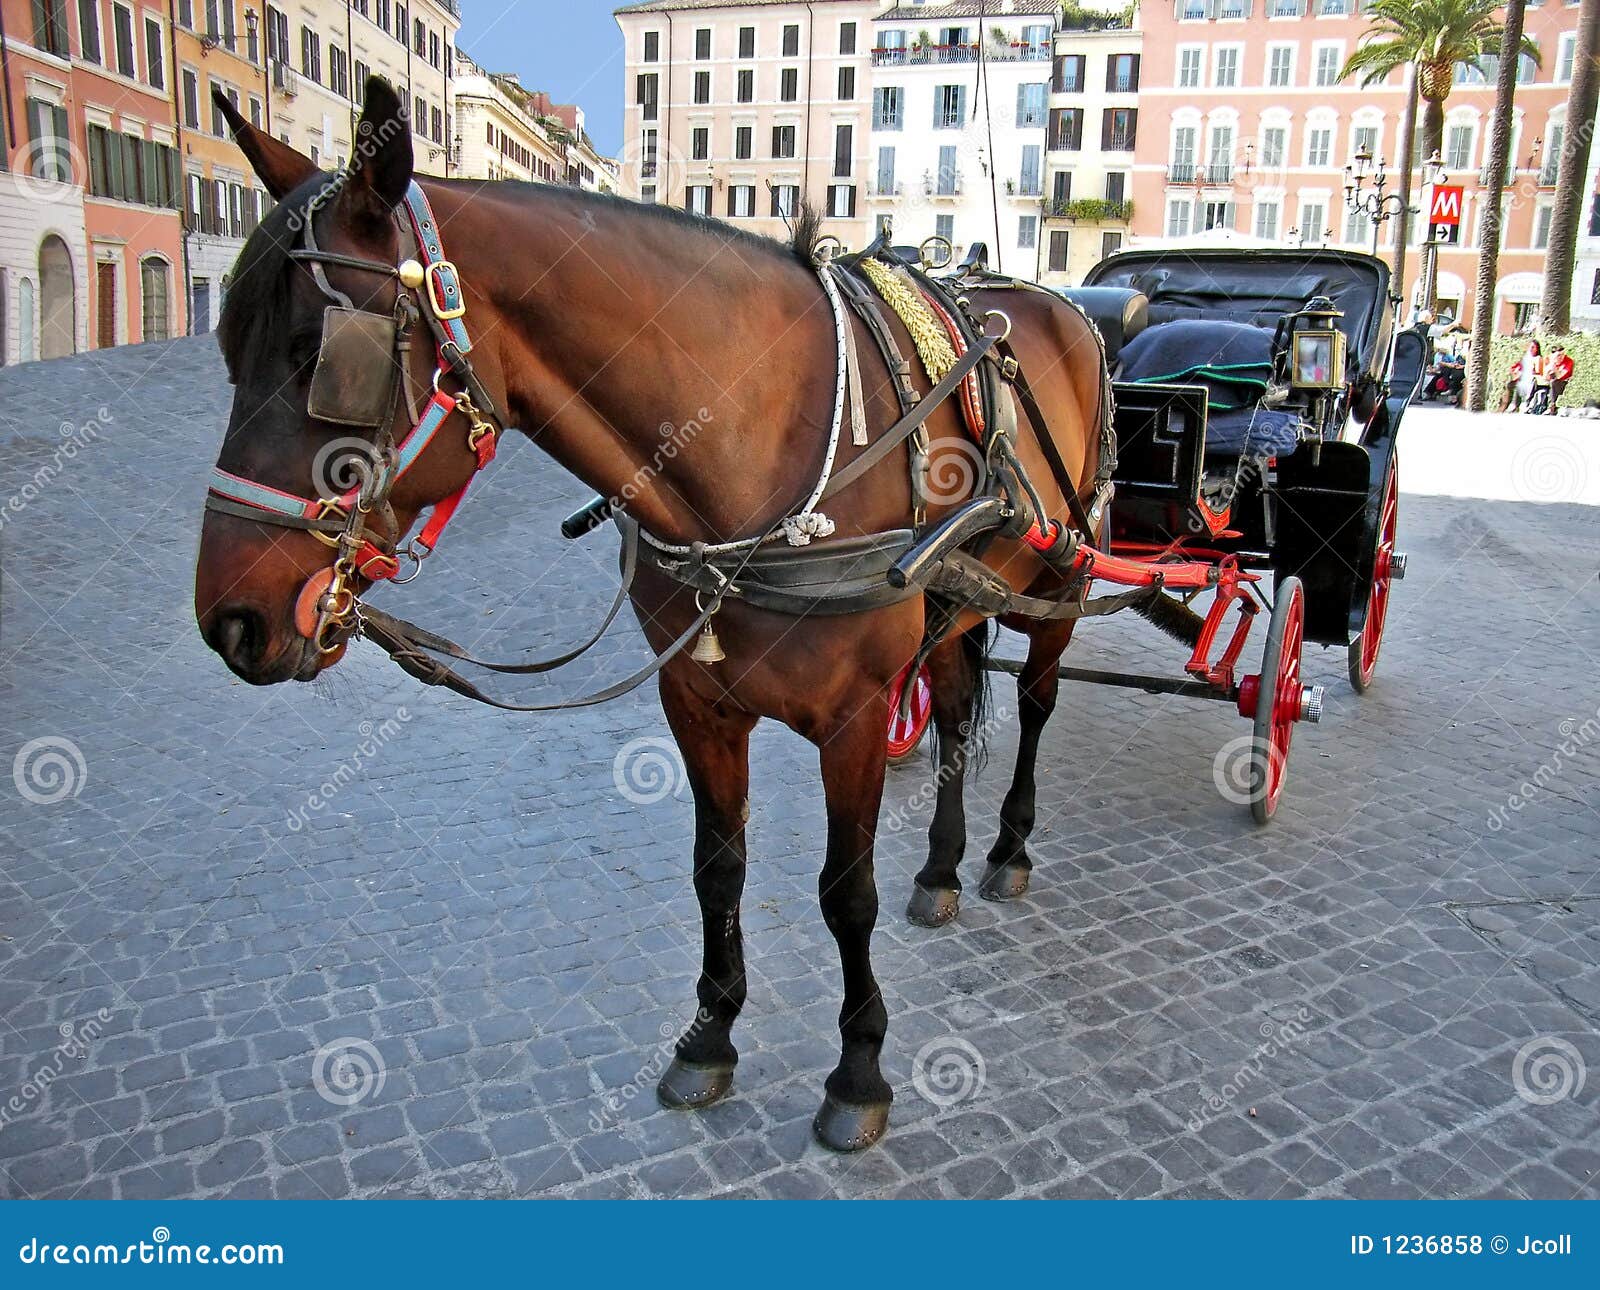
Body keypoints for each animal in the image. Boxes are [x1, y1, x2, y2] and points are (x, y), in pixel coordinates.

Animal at [192, 78, 1106, 1151]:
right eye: (228, 346)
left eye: (323, 357)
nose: (230, 619)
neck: (758, 442)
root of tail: (1048, 304)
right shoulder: (696, 702)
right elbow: (717, 868)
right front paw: (709, 1037)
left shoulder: (854, 717)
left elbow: (845, 893)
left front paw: (858, 1069)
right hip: (958, 599)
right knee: (959, 715)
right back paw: (945, 869)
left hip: (1065, 578)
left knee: (1036, 704)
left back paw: (1007, 850)